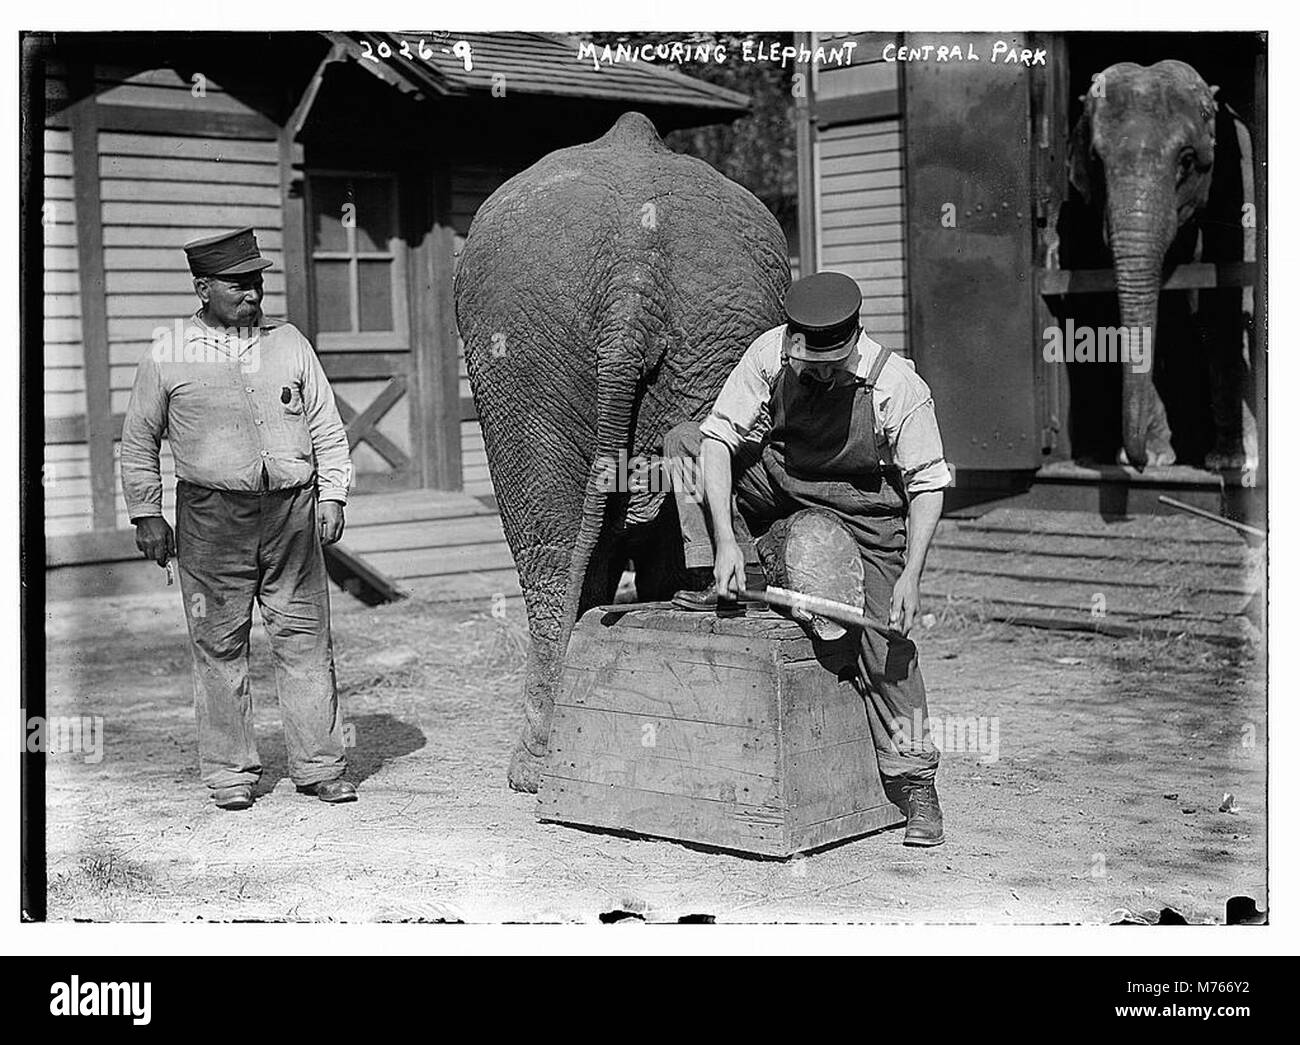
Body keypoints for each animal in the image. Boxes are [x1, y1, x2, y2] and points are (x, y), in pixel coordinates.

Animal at [1066, 59, 1252, 470]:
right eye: (1096, 162)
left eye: (1187, 161)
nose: (1133, 462)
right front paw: (1153, 457)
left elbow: (1226, 307)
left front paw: (1233, 463)